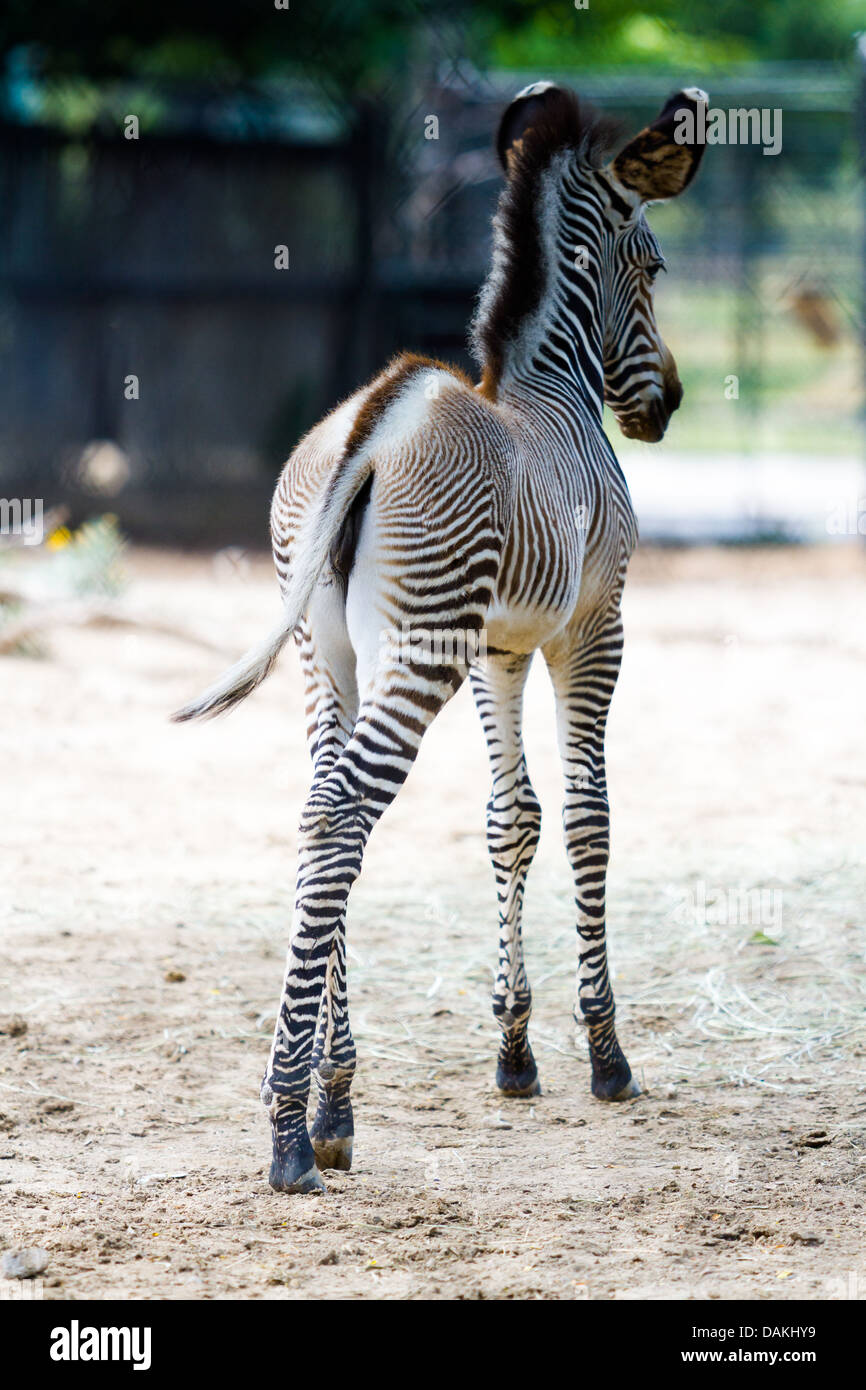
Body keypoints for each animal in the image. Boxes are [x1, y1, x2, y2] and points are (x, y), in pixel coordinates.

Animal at [173, 82, 707, 1193]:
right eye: (652, 267)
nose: (667, 404)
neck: (549, 387)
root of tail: (373, 423)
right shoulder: (594, 627)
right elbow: (587, 815)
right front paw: (604, 1055)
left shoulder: (498, 648)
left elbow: (511, 817)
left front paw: (513, 1050)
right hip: (418, 651)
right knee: (342, 814)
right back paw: (287, 1132)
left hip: (330, 656)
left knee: (319, 813)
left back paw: (332, 1104)